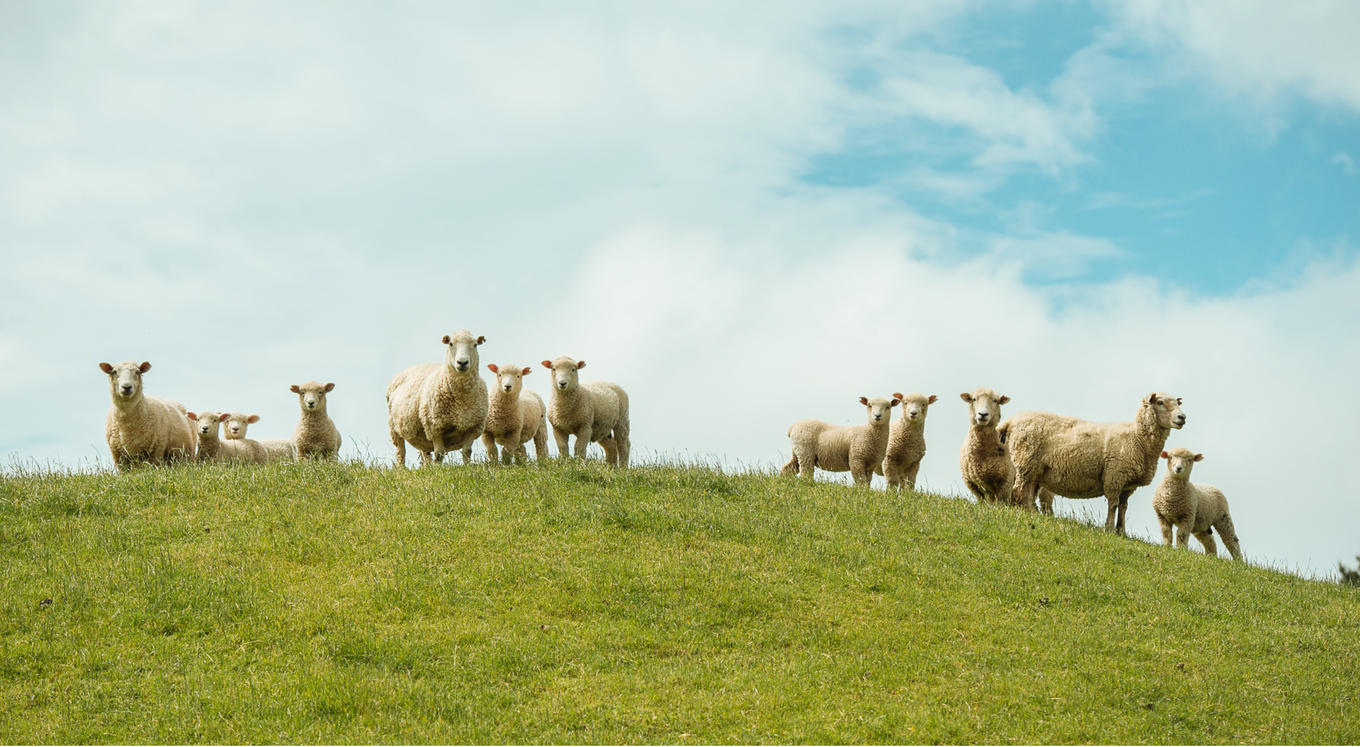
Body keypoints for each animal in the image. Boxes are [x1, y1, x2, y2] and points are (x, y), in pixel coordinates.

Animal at [387, 330, 489, 467]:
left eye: (475, 345)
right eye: (451, 344)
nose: (462, 363)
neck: (461, 400)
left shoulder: (473, 427)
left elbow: (467, 452)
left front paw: (468, 467)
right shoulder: (435, 427)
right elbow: (439, 454)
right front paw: (437, 469)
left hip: (421, 434)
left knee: (424, 453)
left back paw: (426, 467)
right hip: (394, 428)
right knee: (400, 452)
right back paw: (401, 468)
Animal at [998, 392, 1187, 535]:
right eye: (1160, 402)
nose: (1182, 417)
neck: (1136, 438)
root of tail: (1011, 421)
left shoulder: (1128, 485)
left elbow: (1123, 508)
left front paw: (1122, 532)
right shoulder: (1114, 476)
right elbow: (1113, 505)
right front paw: (1109, 529)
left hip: (1035, 469)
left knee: (1028, 492)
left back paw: (1030, 513)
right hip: (1025, 460)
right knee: (1018, 489)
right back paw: (1019, 511)